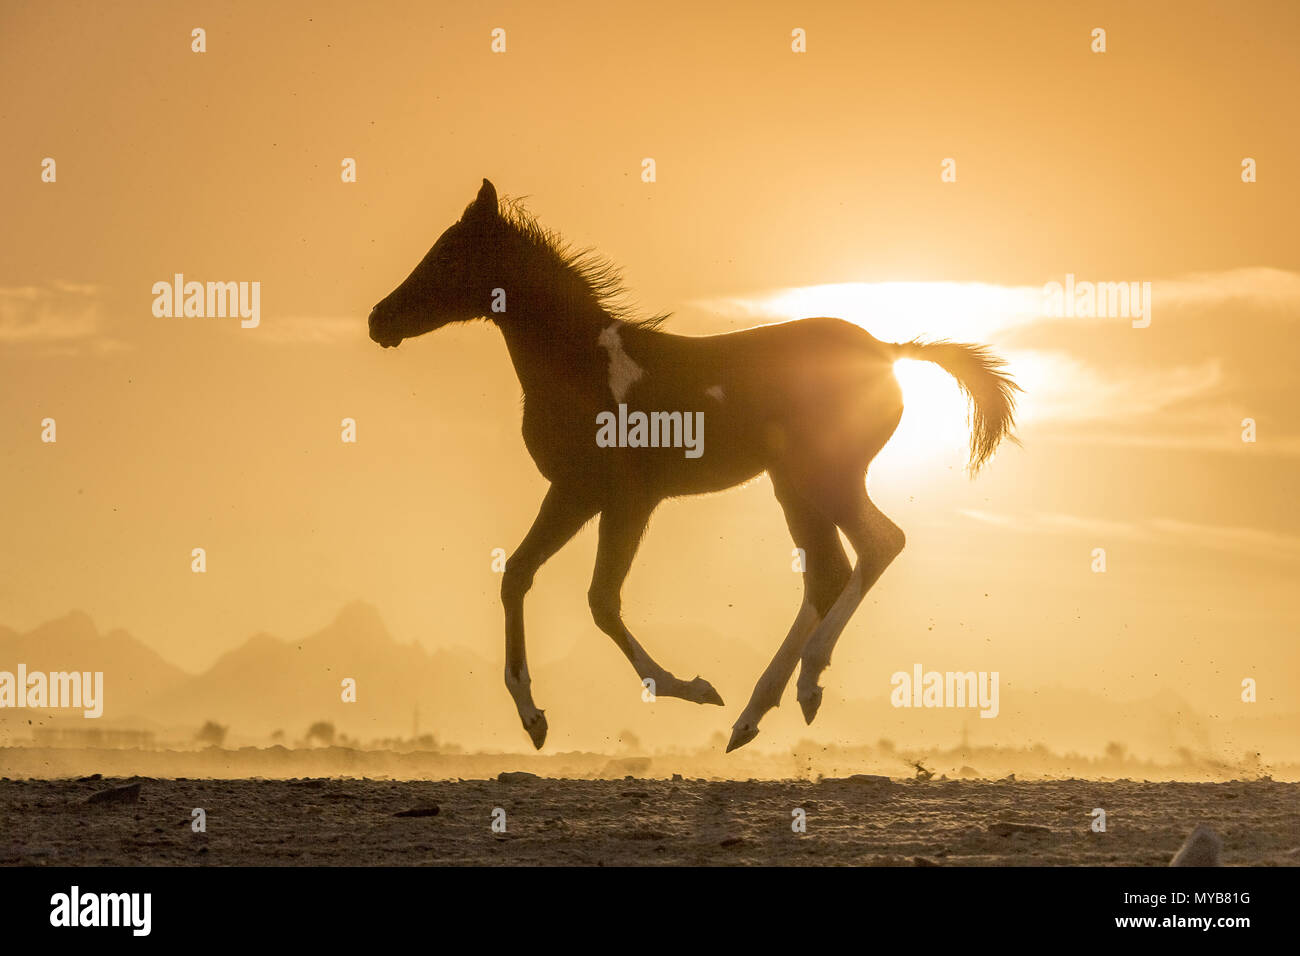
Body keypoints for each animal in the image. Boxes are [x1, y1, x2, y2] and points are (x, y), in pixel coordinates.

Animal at [369, 179, 1020, 752]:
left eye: (450, 253)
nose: (380, 319)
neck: (581, 364)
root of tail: (889, 351)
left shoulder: (627, 499)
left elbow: (602, 600)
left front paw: (694, 688)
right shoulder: (573, 493)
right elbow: (517, 575)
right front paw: (533, 719)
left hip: (823, 478)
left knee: (877, 545)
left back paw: (803, 686)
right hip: (792, 486)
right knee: (828, 571)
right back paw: (755, 714)